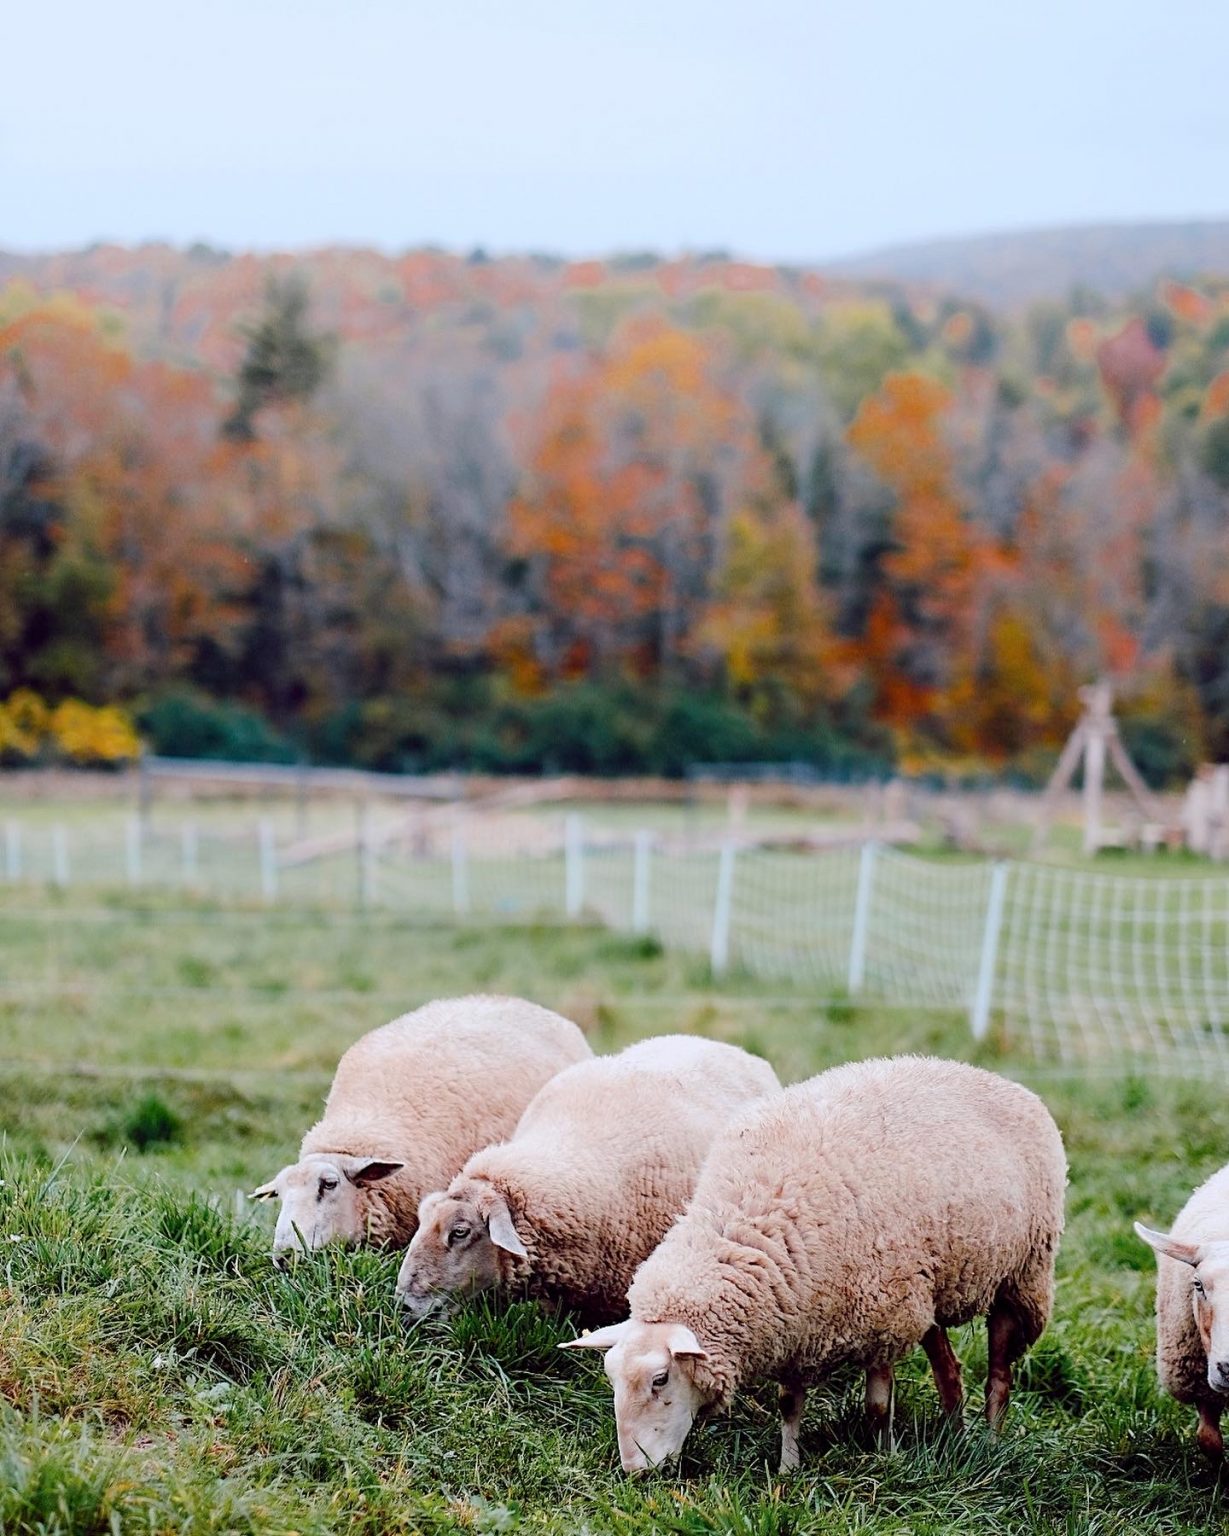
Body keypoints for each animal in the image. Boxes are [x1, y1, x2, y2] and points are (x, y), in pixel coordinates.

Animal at [562, 1054, 1066, 1474]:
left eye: (661, 1379)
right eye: (610, 1377)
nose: (634, 1470)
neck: (751, 1222)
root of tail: (1002, 1081)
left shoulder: (882, 1316)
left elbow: (877, 1408)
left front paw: (883, 1460)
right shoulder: (794, 1321)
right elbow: (789, 1404)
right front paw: (788, 1469)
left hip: (1021, 1275)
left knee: (999, 1376)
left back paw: (990, 1442)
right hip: (930, 1287)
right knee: (950, 1369)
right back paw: (955, 1438)